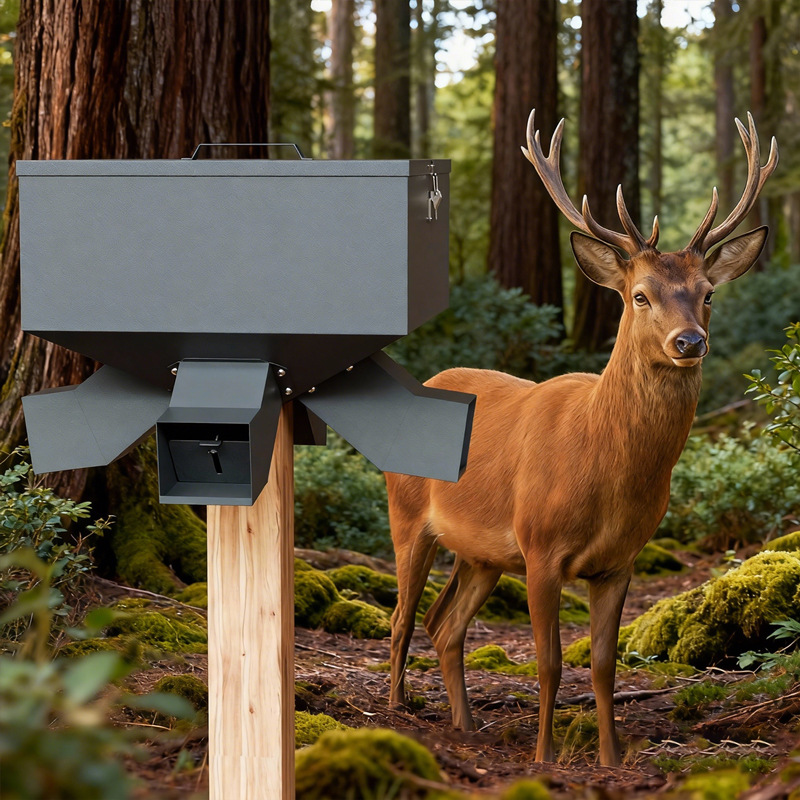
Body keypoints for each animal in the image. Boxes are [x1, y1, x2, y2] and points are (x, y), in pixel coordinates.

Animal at [384, 110, 778, 767]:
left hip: (482, 553)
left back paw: (466, 727)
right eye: (640, 295)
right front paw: (544, 757)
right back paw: (394, 715)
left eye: (708, 293)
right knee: (401, 619)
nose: (689, 342)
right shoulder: (540, 547)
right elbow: (547, 665)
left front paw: (611, 758)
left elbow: (602, 667)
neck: (603, 471)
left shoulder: (619, 562)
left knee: (445, 625)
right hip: (407, 513)